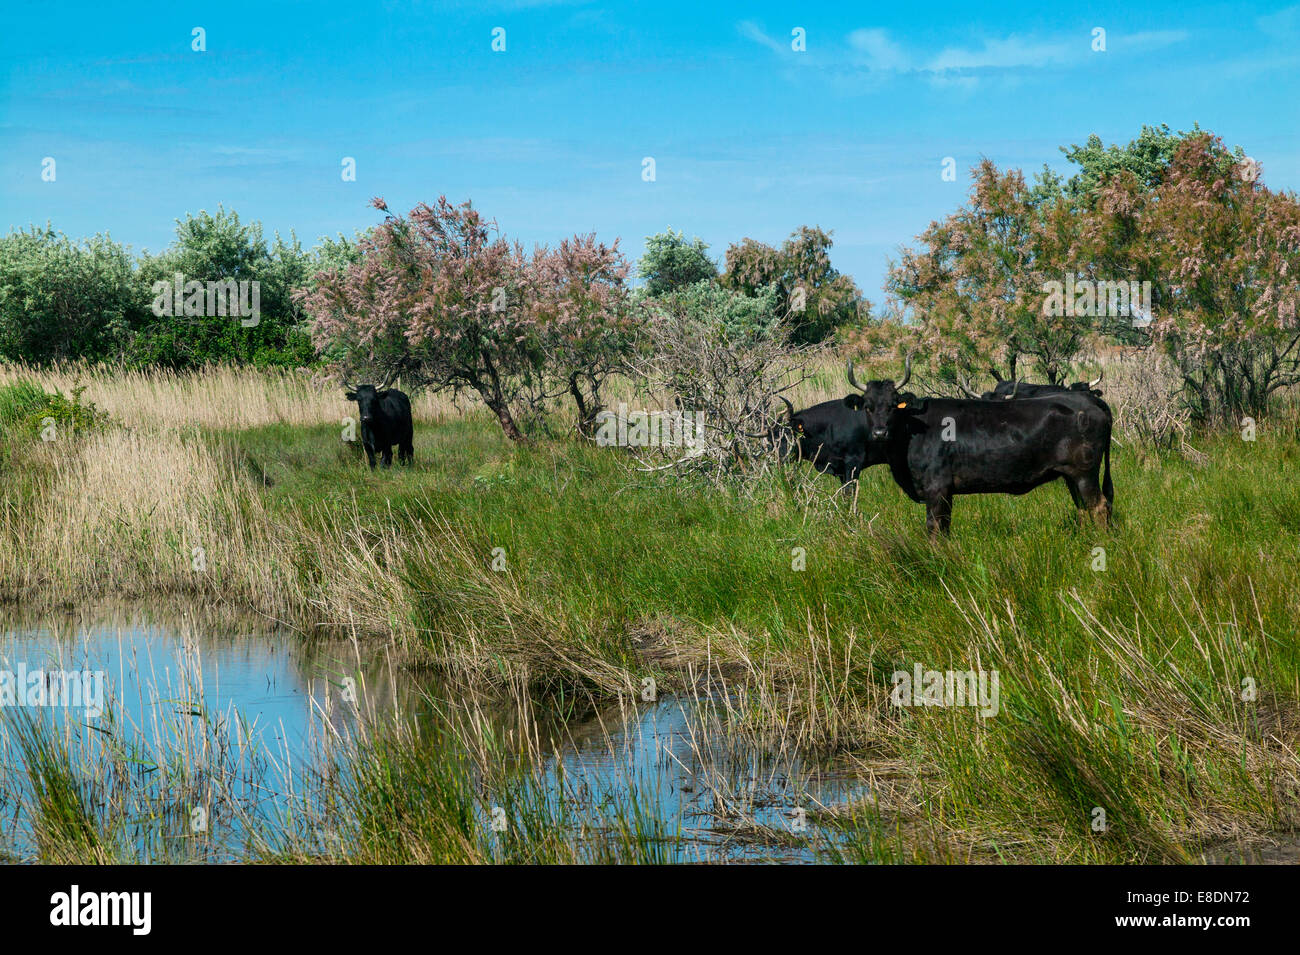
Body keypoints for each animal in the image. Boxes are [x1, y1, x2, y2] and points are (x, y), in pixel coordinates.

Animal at [848, 358, 1113, 537]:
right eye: (867, 406)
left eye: (893, 405)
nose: (879, 432)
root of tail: (1087, 399)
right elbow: (944, 529)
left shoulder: (937, 489)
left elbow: (935, 529)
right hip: (1070, 475)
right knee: (1083, 508)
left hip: (1084, 473)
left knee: (1099, 507)